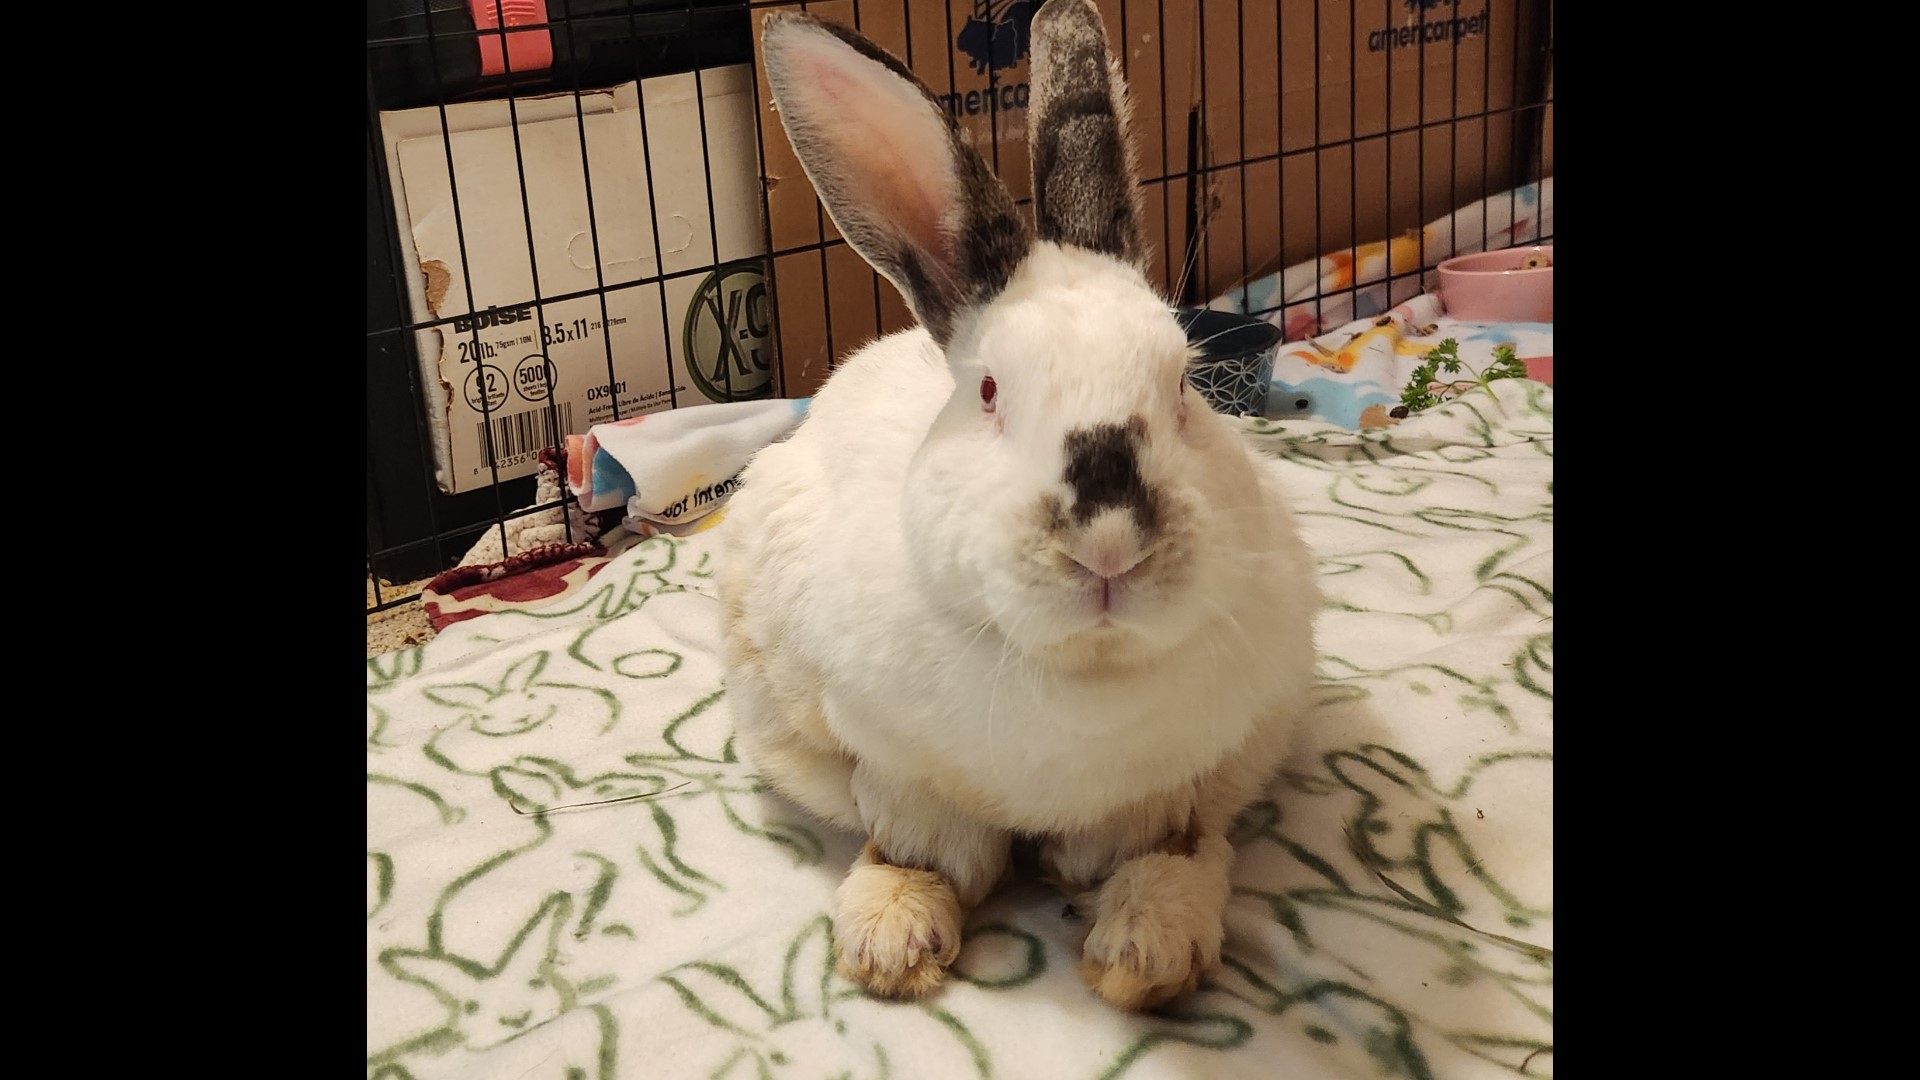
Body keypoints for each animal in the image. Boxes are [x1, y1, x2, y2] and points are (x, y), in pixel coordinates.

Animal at [720, 0, 1320, 1012]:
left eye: (1184, 384)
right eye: (992, 390)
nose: (1110, 544)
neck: (1079, 682)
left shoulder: (1177, 782)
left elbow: (1178, 846)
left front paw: (1148, 951)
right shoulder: (897, 770)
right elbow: (918, 848)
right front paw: (892, 942)